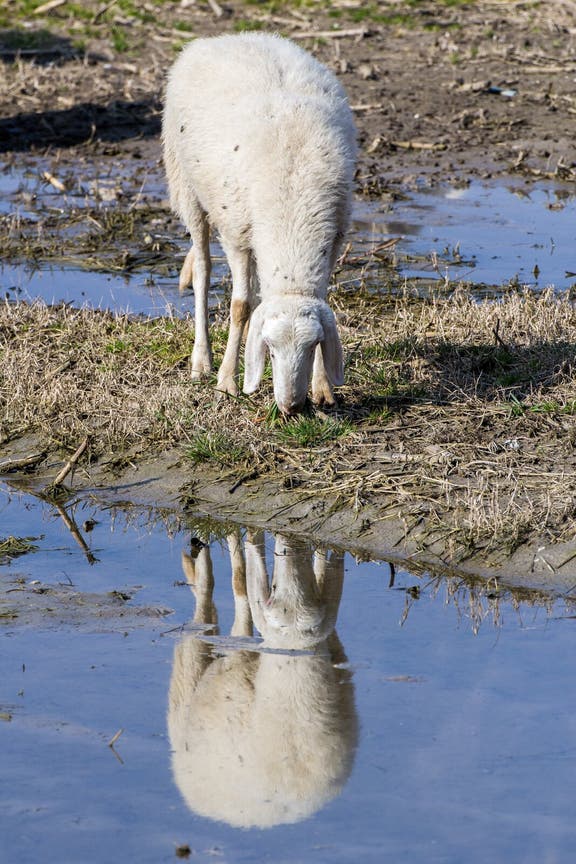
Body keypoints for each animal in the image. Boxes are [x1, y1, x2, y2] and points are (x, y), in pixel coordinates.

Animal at [162, 32, 357, 414]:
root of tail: (231, 37)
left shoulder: (334, 241)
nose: (291, 407)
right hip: (187, 185)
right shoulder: (237, 235)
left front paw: (323, 387)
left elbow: (323, 302)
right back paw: (201, 360)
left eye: (312, 346)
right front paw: (226, 382)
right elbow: (239, 308)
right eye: (271, 349)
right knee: (203, 268)